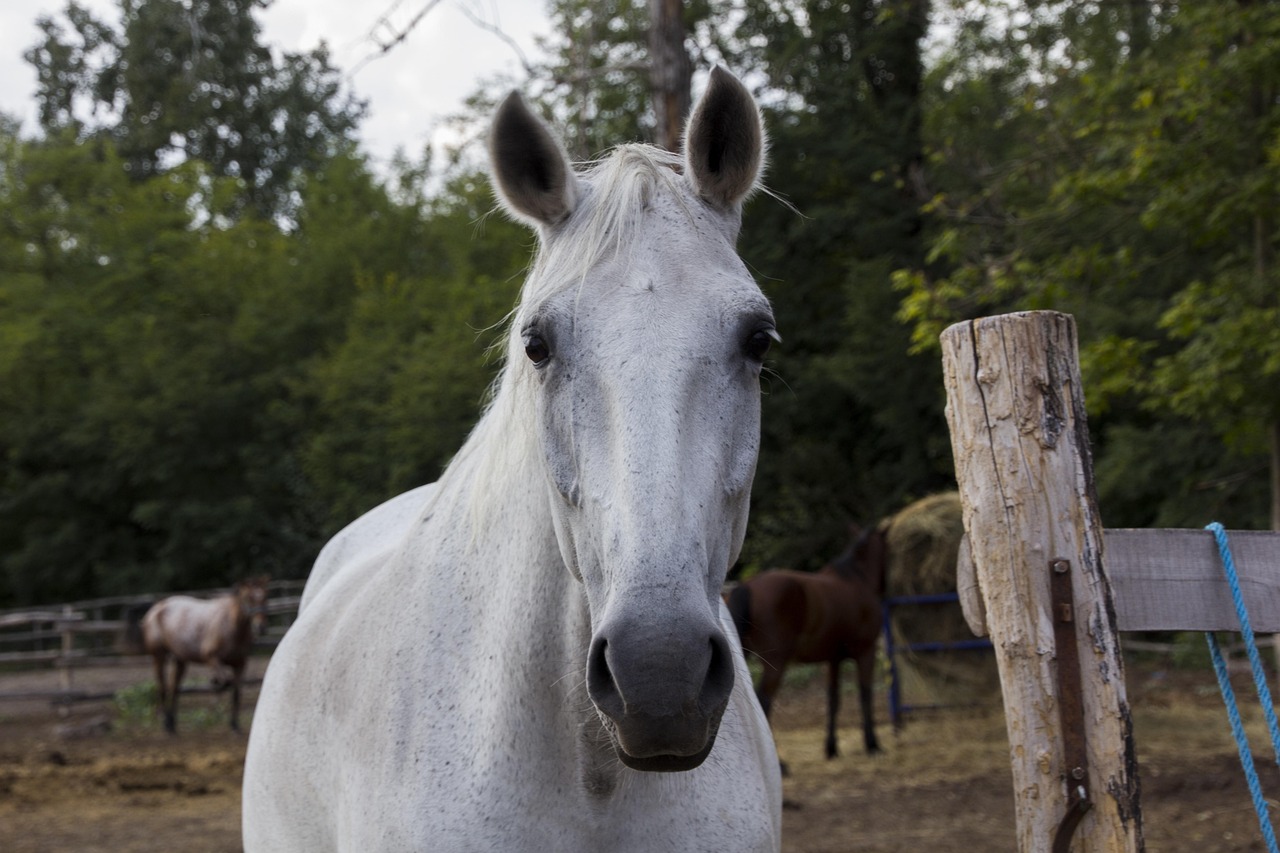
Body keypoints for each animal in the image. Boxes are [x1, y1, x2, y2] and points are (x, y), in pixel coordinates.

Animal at [140, 575, 270, 734]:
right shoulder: (211, 658)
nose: (261, 627)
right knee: (162, 687)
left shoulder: (240, 663)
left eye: (265, 596)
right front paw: (216, 687)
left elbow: (236, 693)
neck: (232, 627)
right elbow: (225, 682)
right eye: (248, 598)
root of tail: (155, 609)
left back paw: (172, 724)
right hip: (159, 656)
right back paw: (165, 722)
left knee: (174, 688)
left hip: (180, 659)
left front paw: (234, 725)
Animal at [727, 523, 888, 763]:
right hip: (776, 663)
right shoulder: (866, 652)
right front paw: (872, 744)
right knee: (763, 700)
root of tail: (748, 585)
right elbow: (865, 695)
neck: (857, 580)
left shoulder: (834, 659)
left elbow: (833, 699)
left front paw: (832, 748)